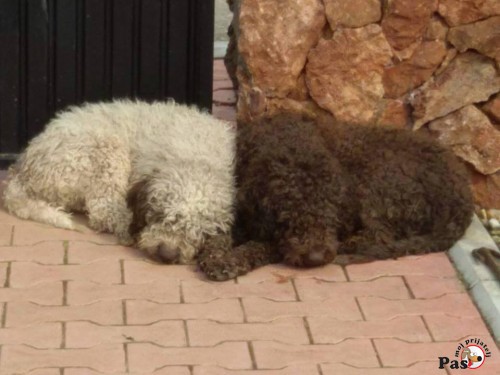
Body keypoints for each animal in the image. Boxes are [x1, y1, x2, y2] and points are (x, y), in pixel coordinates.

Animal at [2, 100, 235, 264]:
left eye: (200, 231)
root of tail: (22, 168)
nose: (166, 254)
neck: (197, 159)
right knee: (102, 212)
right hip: (107, 149)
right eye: (160, 215)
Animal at [197, 113, 474, 280]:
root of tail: (462, 195)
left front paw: (234, 259)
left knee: (380, 235)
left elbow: (262, 245)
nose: (317, 258)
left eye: (330, 212)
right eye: (288, 215)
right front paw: (216, 255)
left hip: (377, 184)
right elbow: (217, 235)